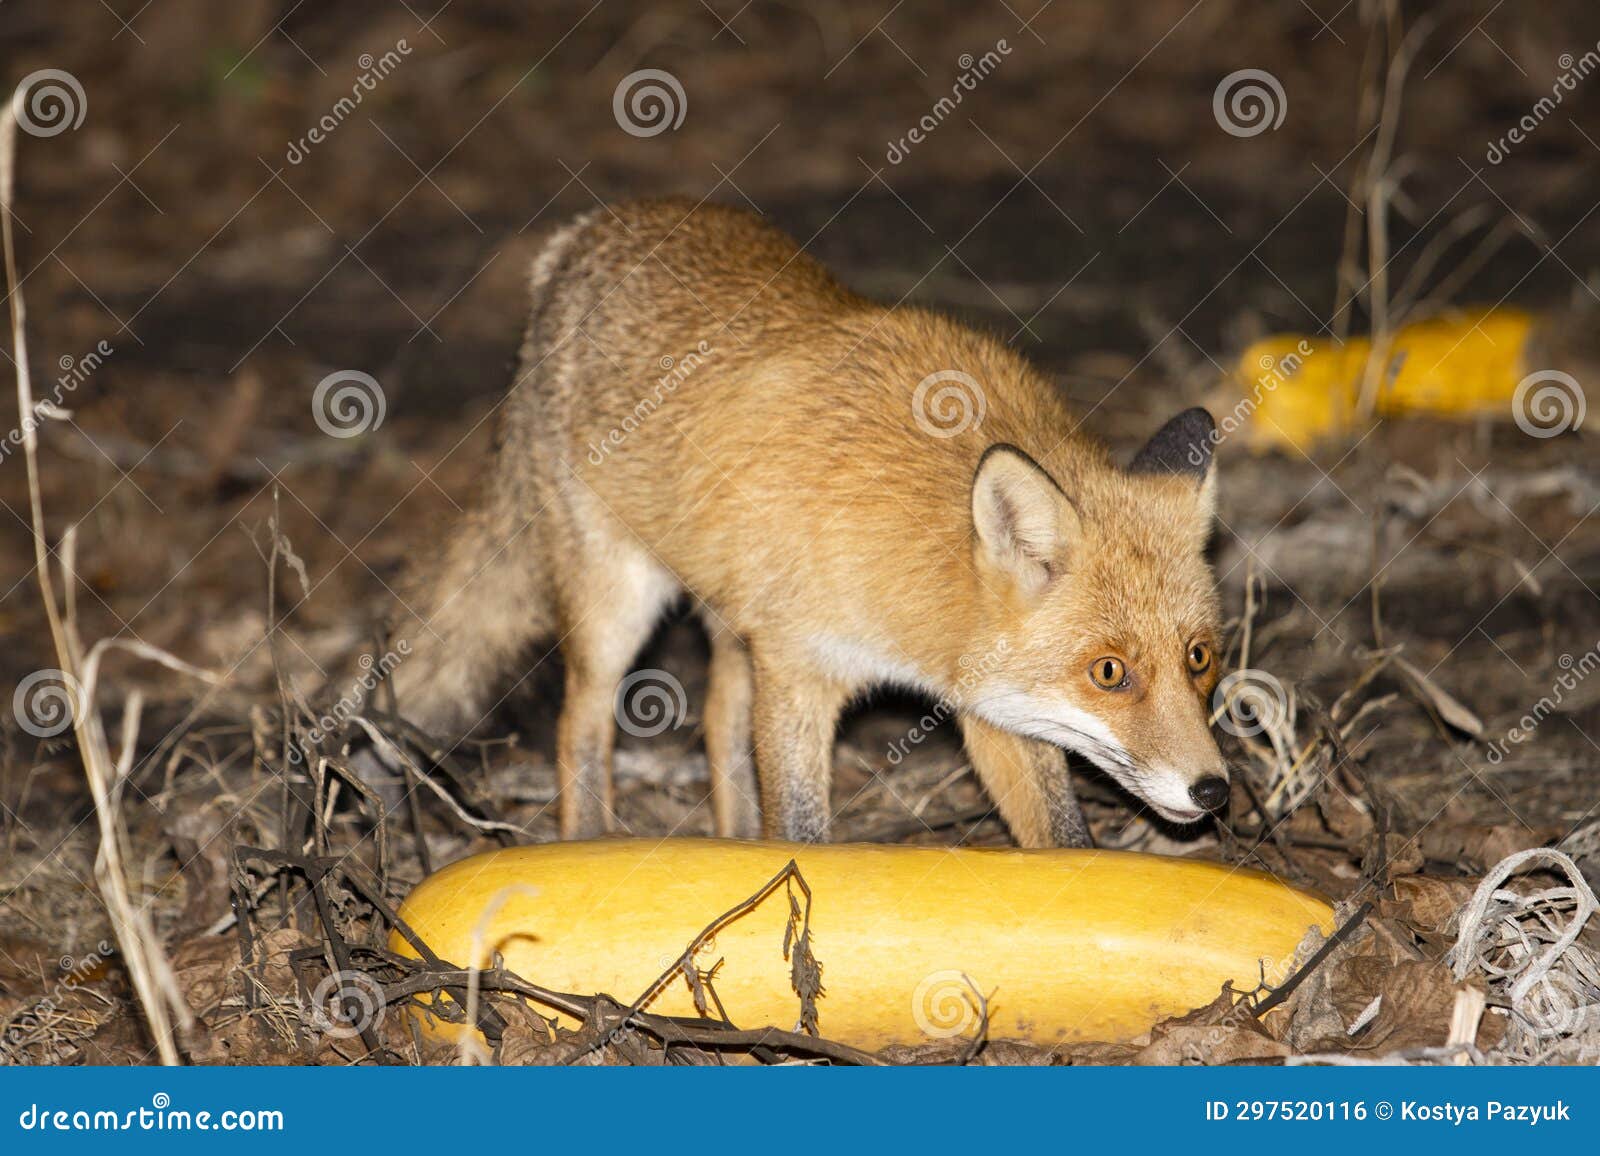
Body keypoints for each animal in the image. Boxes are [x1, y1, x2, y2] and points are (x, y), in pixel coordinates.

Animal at [367, 199, 1231, 847]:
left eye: (1199, 657)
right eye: (1110, 672)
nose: (1215, 791)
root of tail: (585, 232)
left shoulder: (991, 706)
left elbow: (1060, 837)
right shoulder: (800, 669)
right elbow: (805, 830)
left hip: (727, 609)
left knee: (718, 719)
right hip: (620, 600)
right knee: (580, 722)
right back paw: (587, 847)